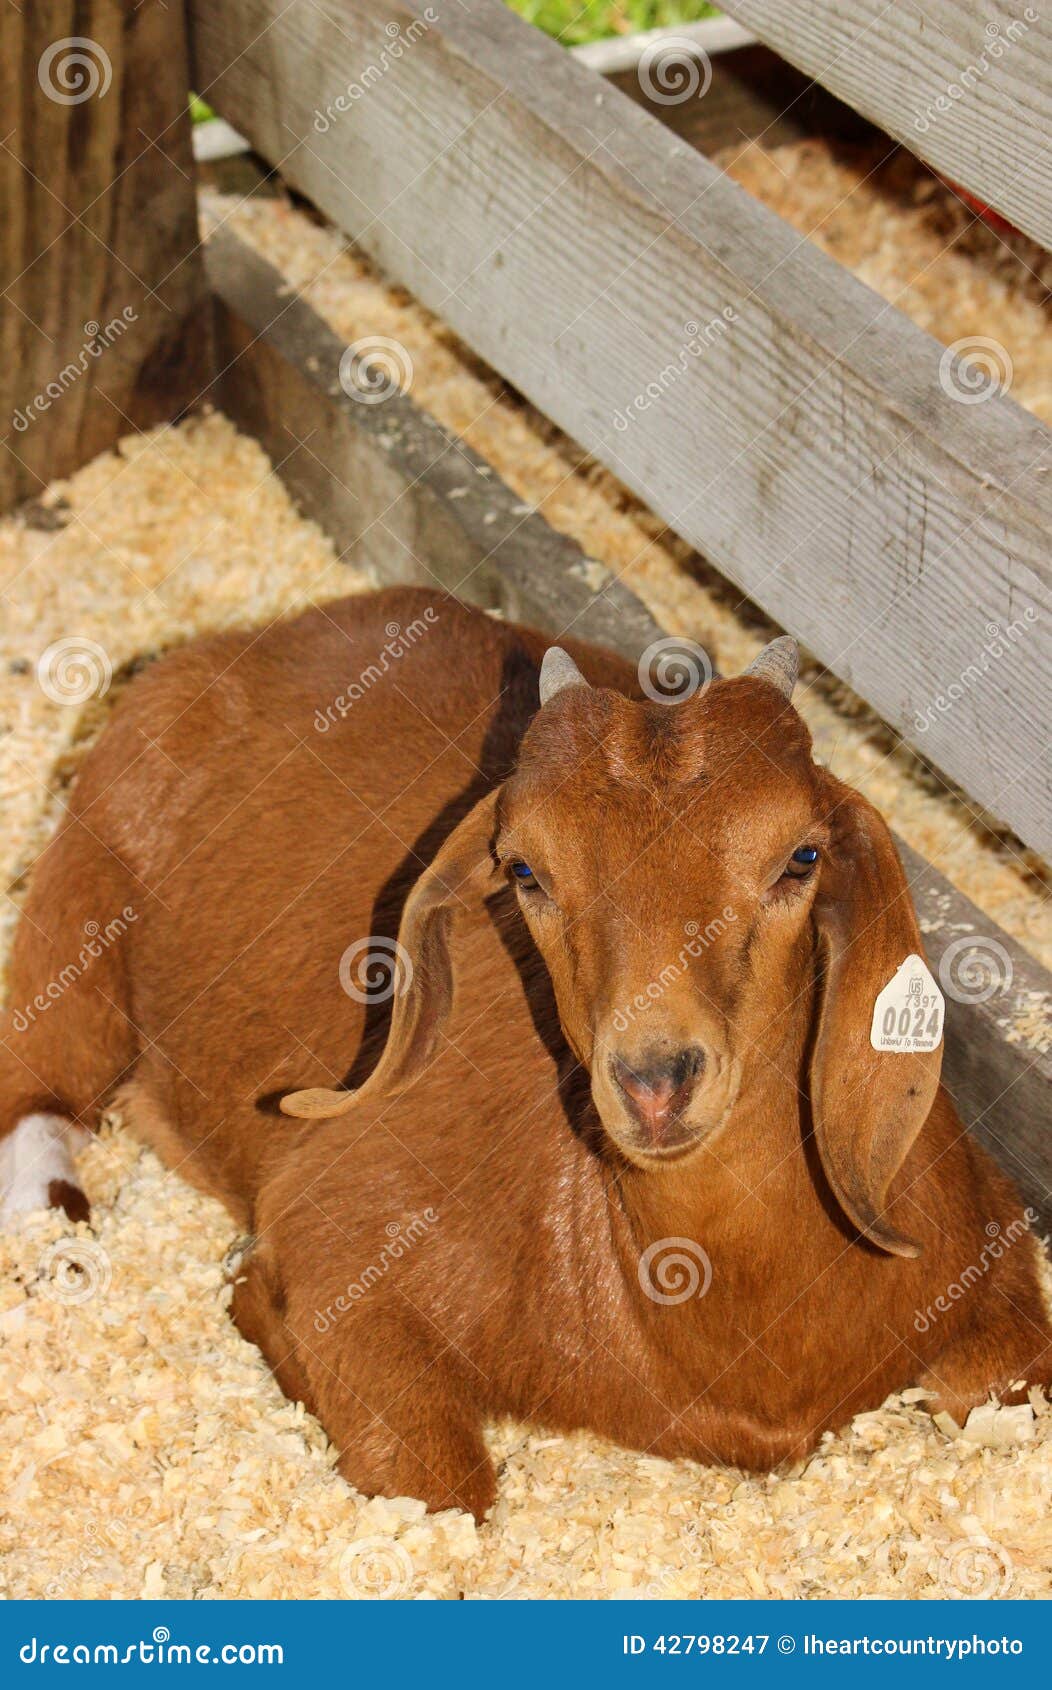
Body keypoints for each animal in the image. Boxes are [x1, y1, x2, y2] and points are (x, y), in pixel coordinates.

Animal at [2, 587, 1048, 1519]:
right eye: (525, 871)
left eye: (802, 857)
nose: (655, 1082)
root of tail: (270, 633)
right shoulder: (347, 1225)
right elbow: (442, 1488)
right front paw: (262, 1314)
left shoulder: (992, 1246)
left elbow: (1005, 1391)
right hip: (80, 899)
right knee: (37, 1082)